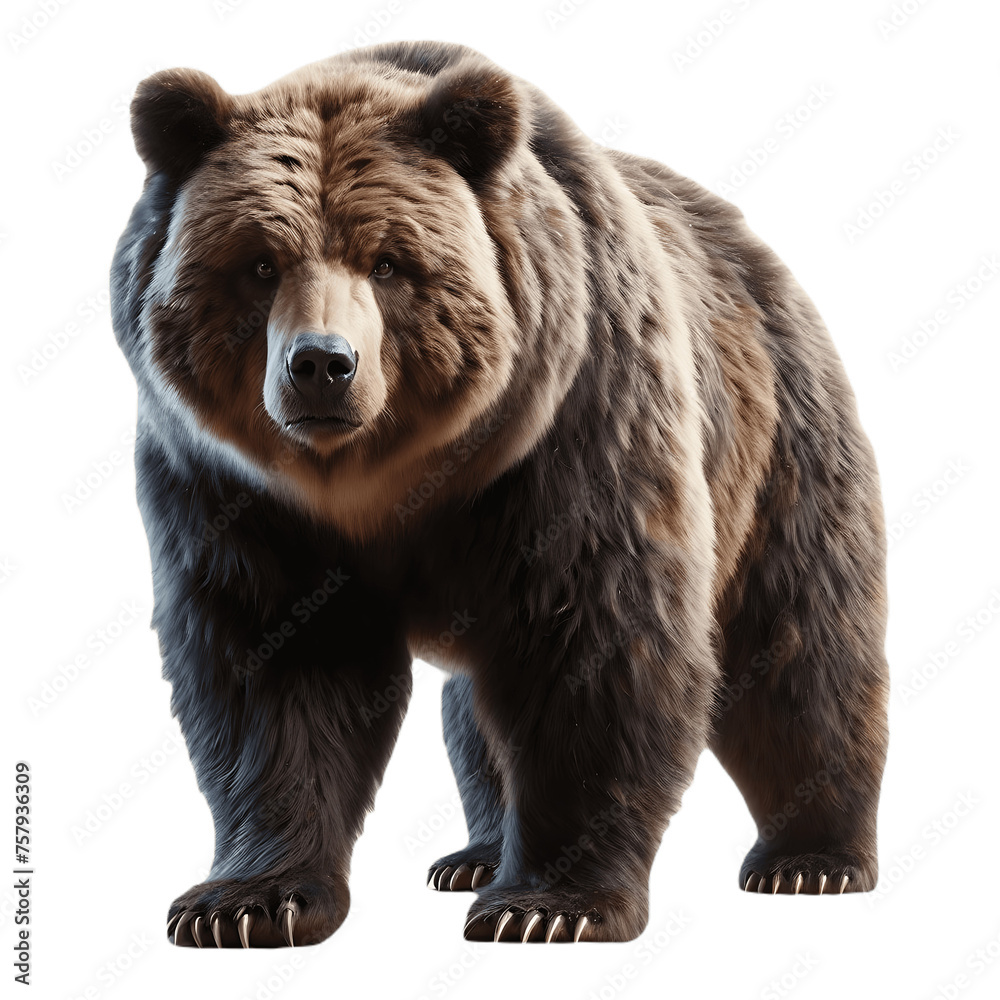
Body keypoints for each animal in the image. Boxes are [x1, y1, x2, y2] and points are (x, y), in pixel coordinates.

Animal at [111, 39, 889, 947]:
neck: (380, 481)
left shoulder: (573, 434)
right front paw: (243, 900)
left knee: (800, 653)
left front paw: (549, 905)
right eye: (260, 263)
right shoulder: (238, 497)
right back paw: (476, 852)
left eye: (388, 260)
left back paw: (811, 859)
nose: (321, 365)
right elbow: (269, 668)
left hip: (778, 449)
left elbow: (593, 648)